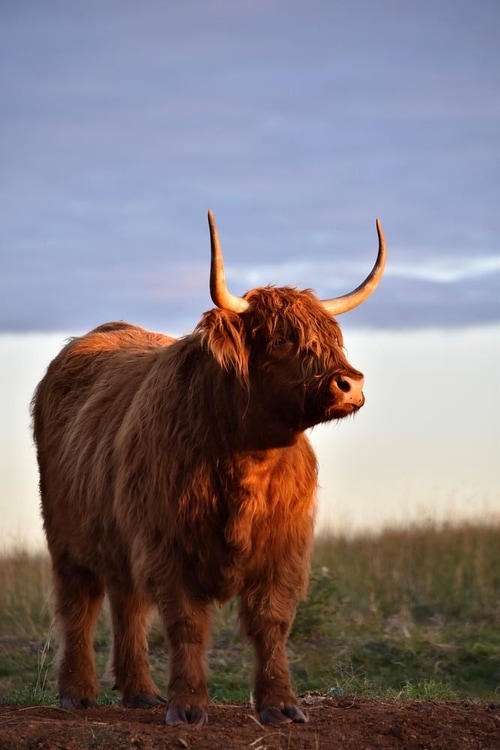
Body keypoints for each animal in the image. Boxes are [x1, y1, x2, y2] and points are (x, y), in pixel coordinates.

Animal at [31, 211, 386, 726]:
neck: (245, 459)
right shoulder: (167, 543)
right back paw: (77, 693)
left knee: (127, 603)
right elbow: (186, 623)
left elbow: (270, 622)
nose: (350, 384)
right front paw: (188, 706)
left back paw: (140, 692)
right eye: (280, 339)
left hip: (119, 538)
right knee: (78, 603)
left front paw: (282, 705)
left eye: (335, 338)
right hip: (65, 536)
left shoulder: (283, 550)